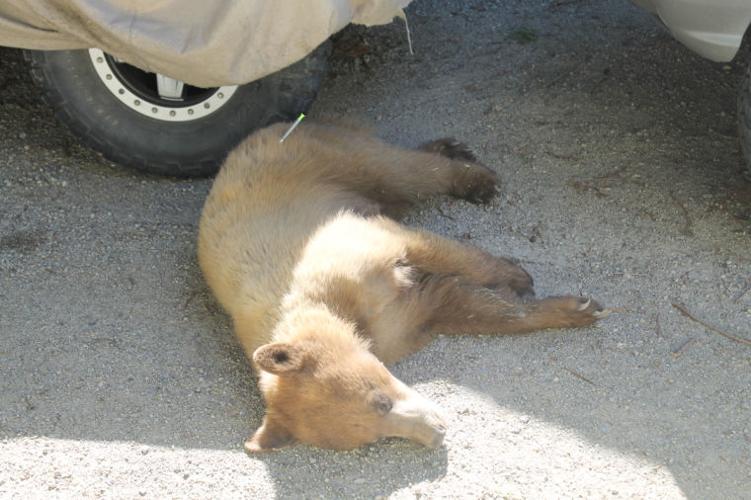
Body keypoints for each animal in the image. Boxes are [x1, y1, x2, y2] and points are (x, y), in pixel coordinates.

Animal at [197, 120, 607, 452]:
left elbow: (432, 252)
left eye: (381, 401)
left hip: (323, 164)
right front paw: (571, 308)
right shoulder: (397, 321)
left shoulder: (347, 255)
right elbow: (462, 305)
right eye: (372, 437)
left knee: (404, 170)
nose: (438, 433)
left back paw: (476, 177)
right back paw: (450, 146)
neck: (336, 312)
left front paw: (518, 277)